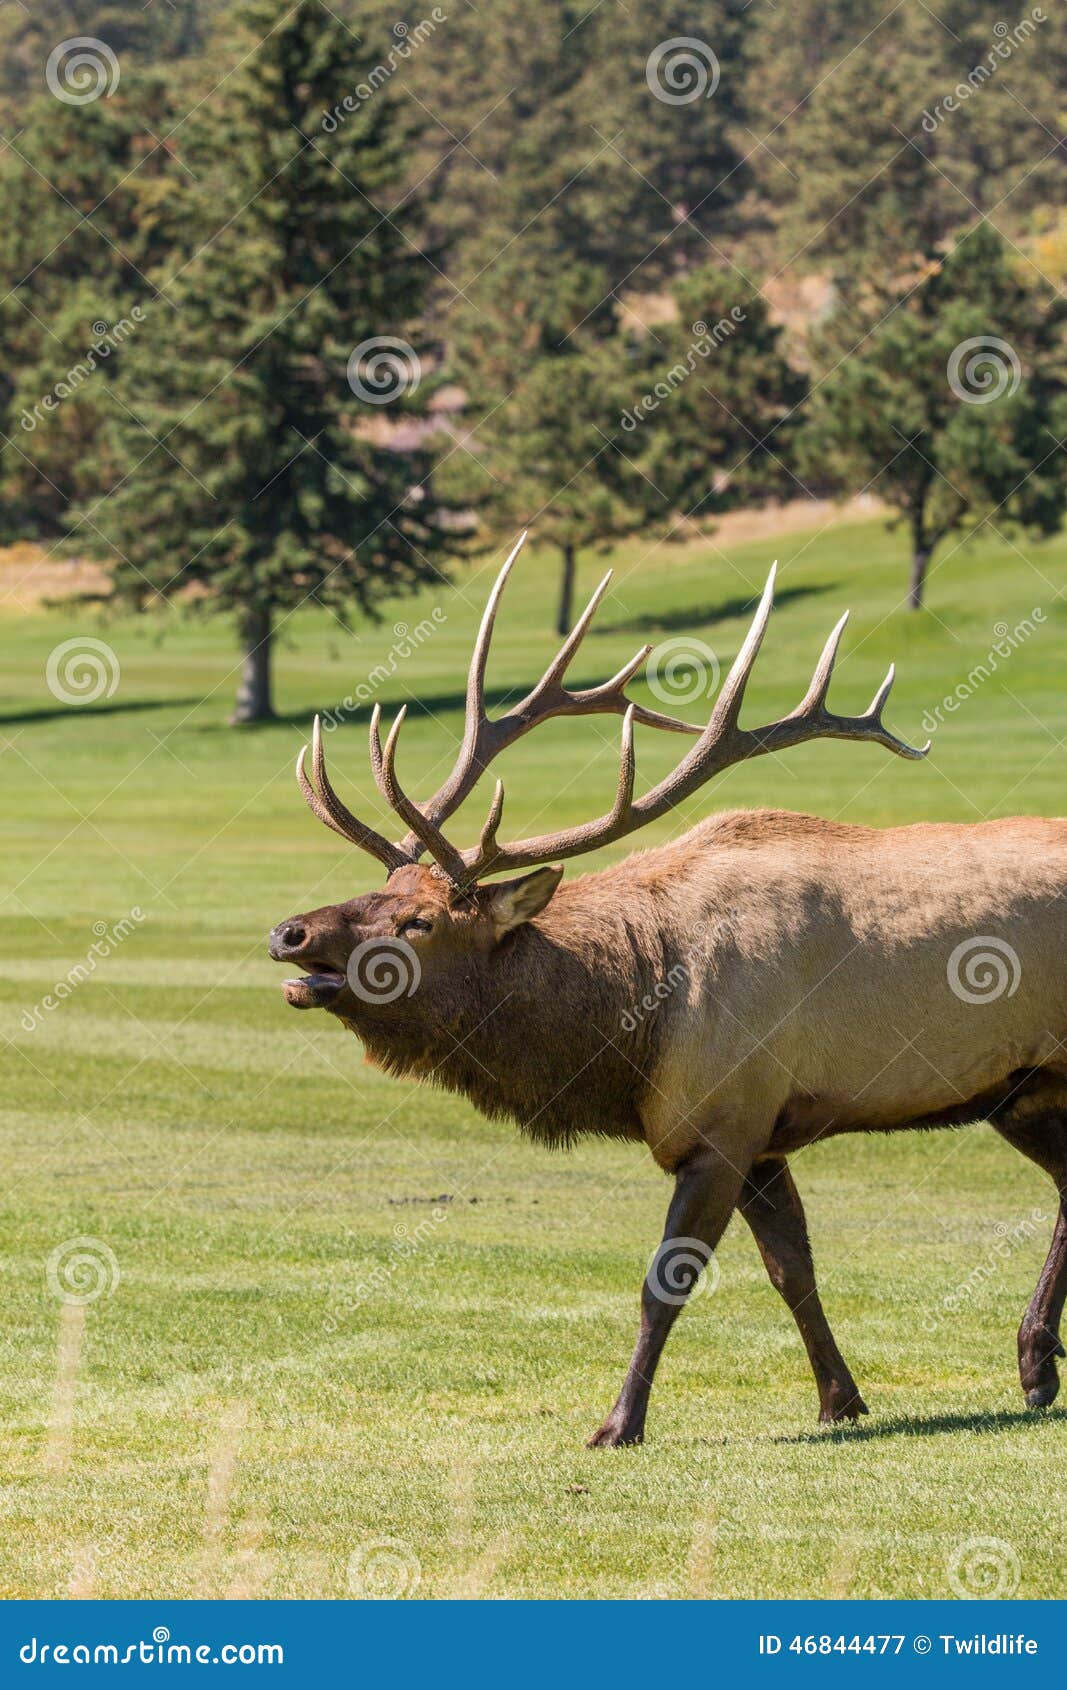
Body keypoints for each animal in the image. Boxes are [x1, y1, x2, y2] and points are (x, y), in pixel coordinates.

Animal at [269, 533, 1067, 1447]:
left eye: (420, 920)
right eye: (378, 890)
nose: (289, 933)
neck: (627, 1031)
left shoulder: (720, 1122)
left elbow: (666, 1284)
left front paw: (619, 1423)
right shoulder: (761, 1133)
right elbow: (792, 1270)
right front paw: (839, 1400)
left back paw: (1034, 1359)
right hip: (1021, 1090)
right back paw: (1035, 1362)